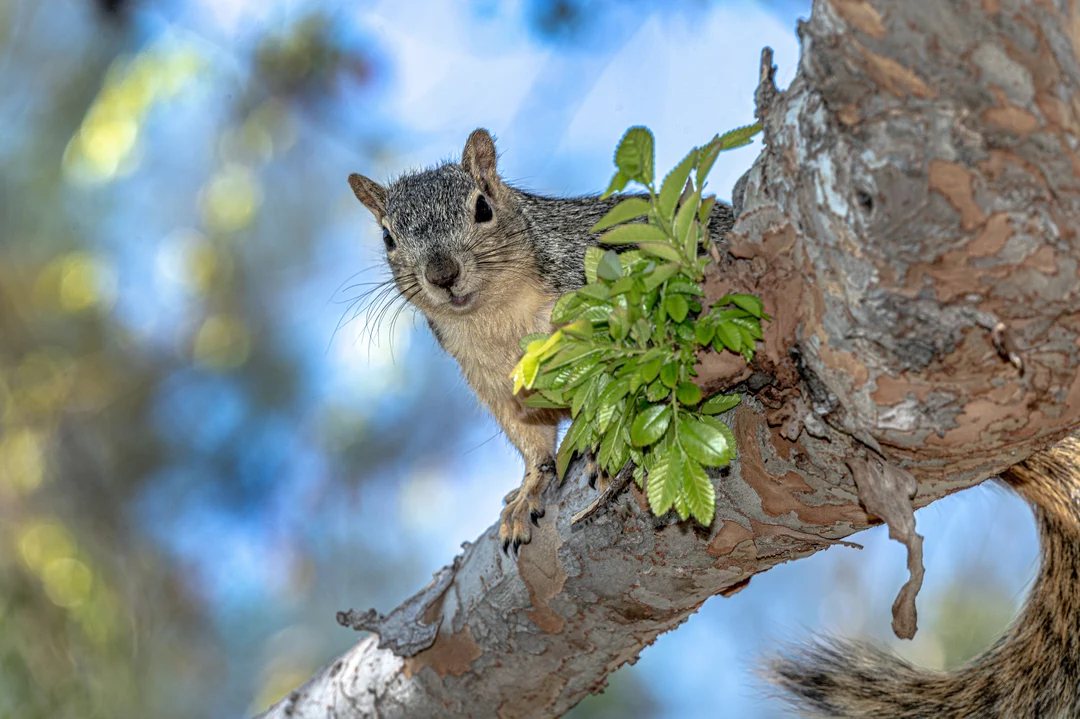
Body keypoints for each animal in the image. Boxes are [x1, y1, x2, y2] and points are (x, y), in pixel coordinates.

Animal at [347, 128, 734, 552]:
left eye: (483, 207)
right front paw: (529, 488)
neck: (495, 317)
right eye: (388, 237)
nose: (442, 274)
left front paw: (601, 449)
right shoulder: (497, 385)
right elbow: (534, 444)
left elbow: (613, 393)